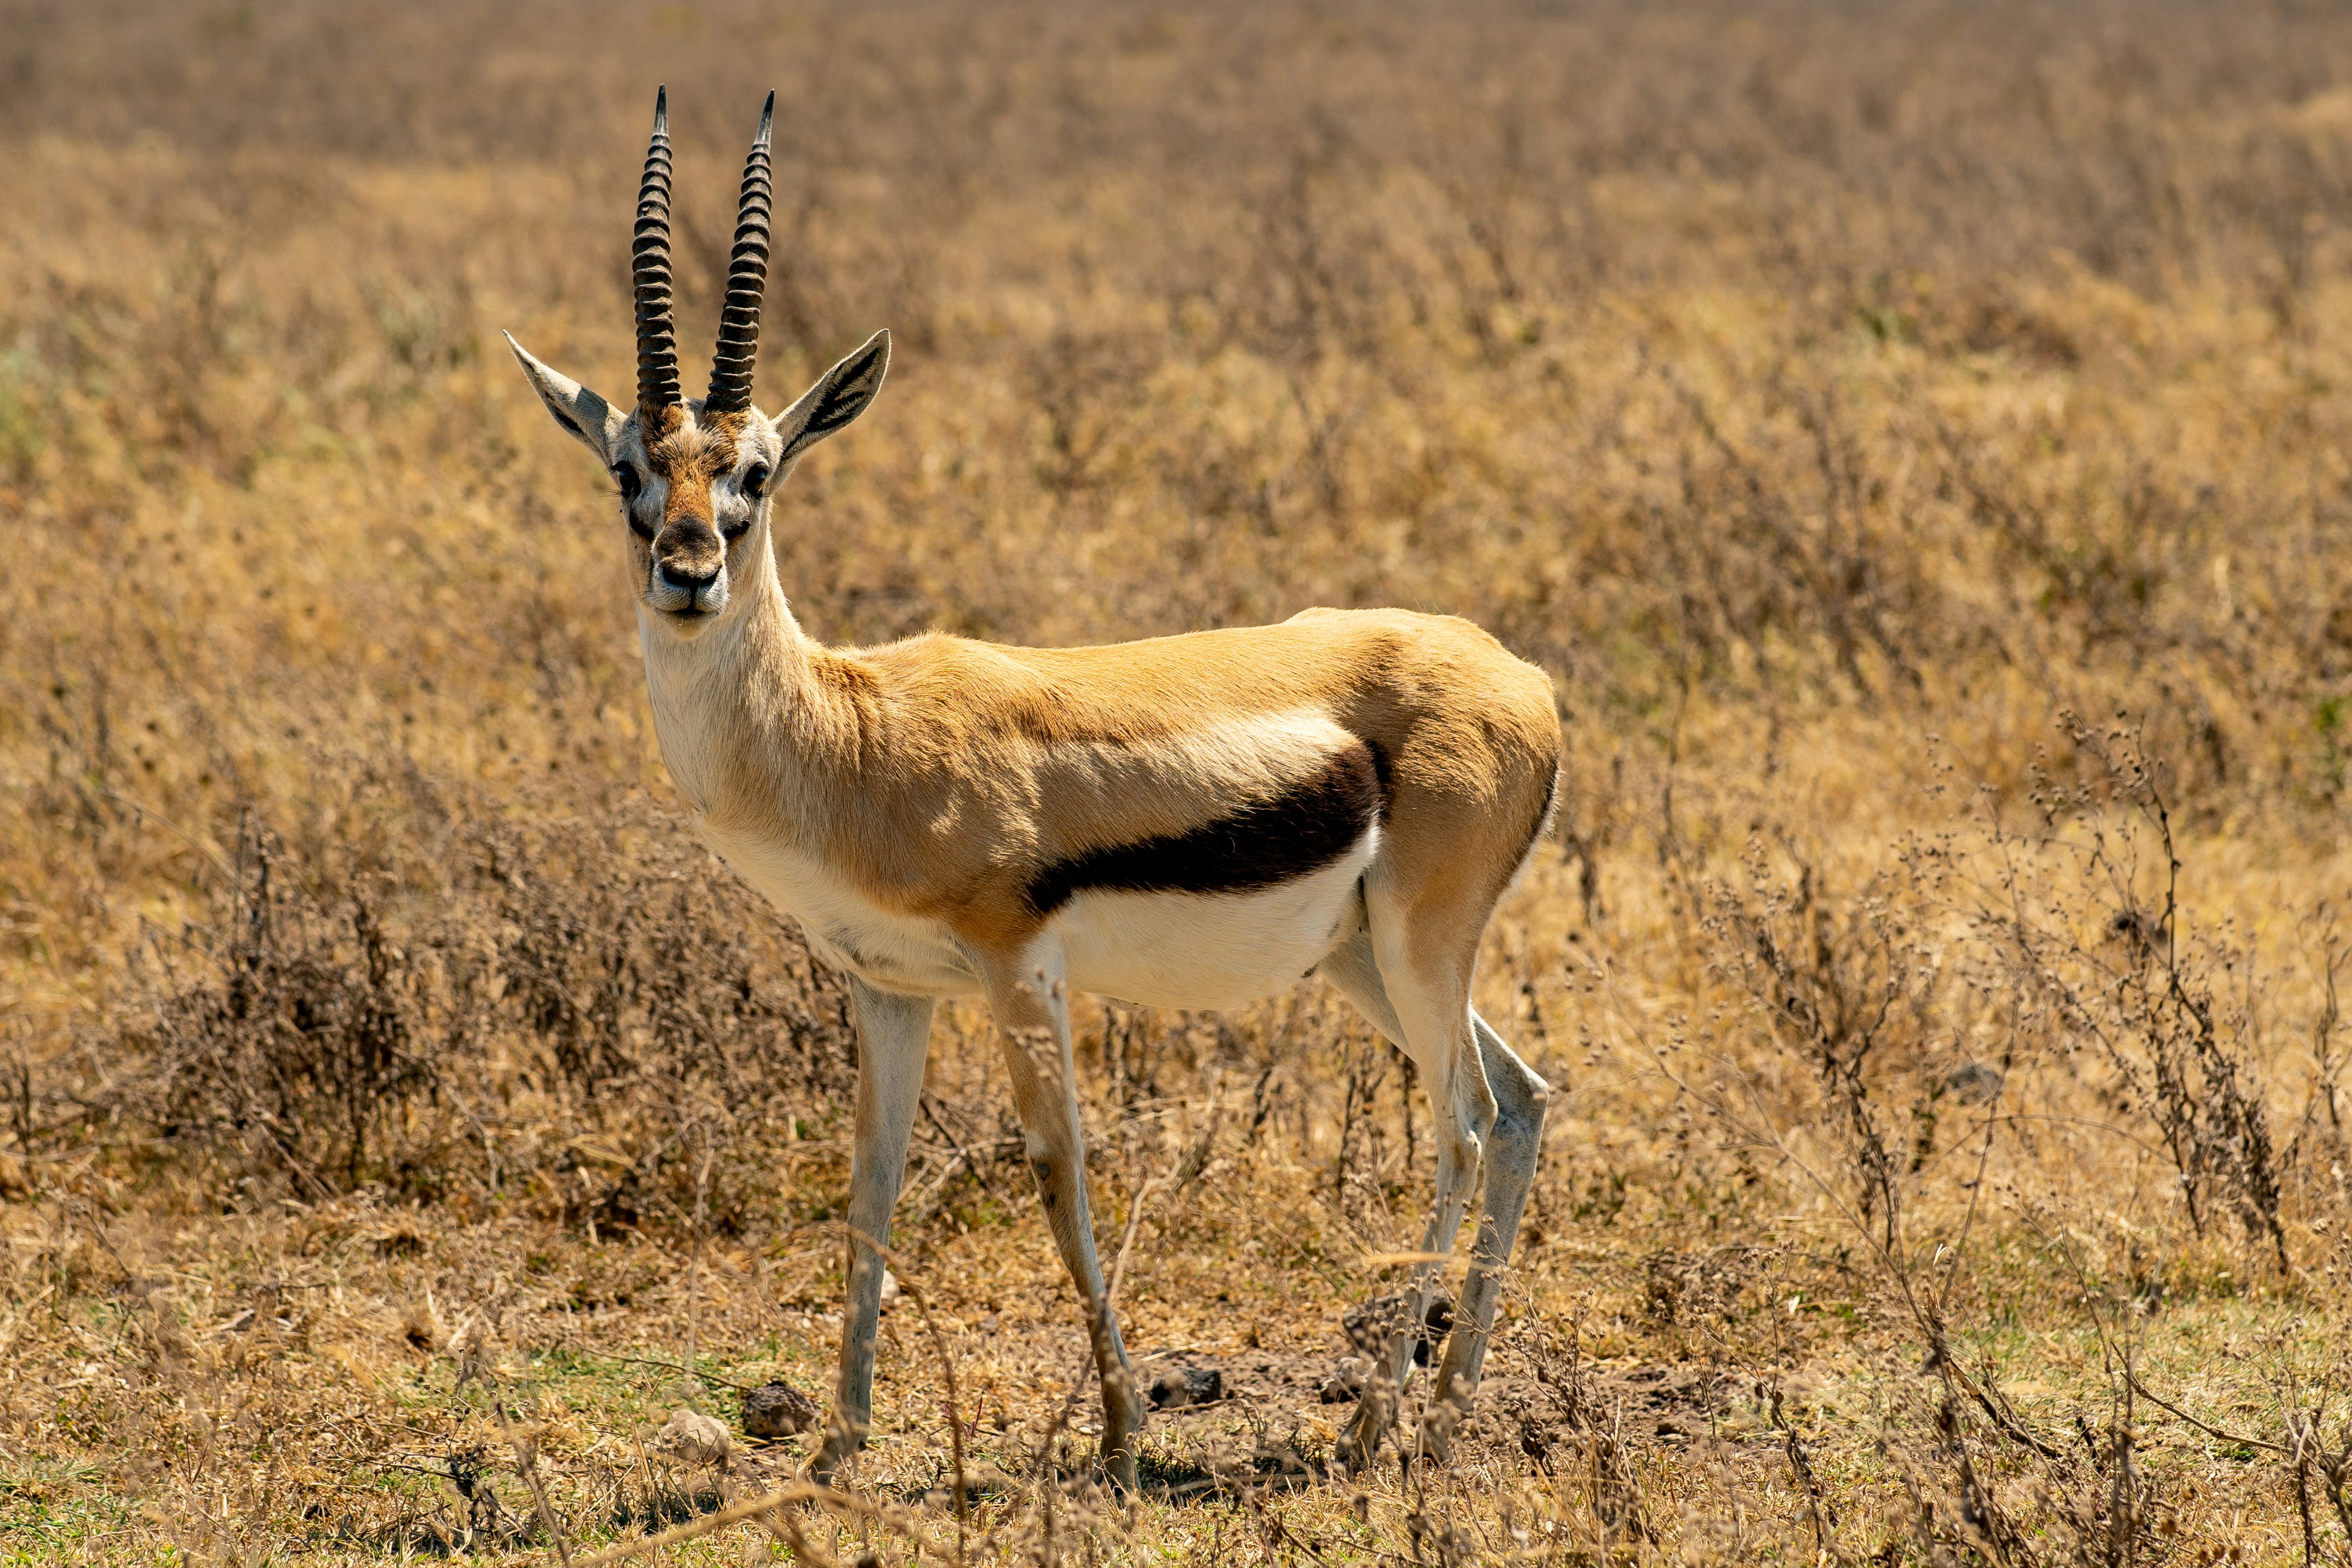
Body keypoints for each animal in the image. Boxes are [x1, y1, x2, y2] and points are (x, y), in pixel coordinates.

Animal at [506, 89, 1561, 1487]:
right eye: (627, 468)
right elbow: (871, 1190)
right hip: (1362, 956)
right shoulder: (889, 988)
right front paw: (836, 1448)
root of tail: (1525, 679)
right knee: (1524, 1101)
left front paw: (1118, 1431)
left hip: (1417, 942)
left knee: (1463, 1119)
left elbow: (1060, 1175)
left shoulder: (1019, 966)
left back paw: (1376, 1420)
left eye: (758, 472)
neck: (852, 738)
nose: (688, 572)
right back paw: (1446, 1412)